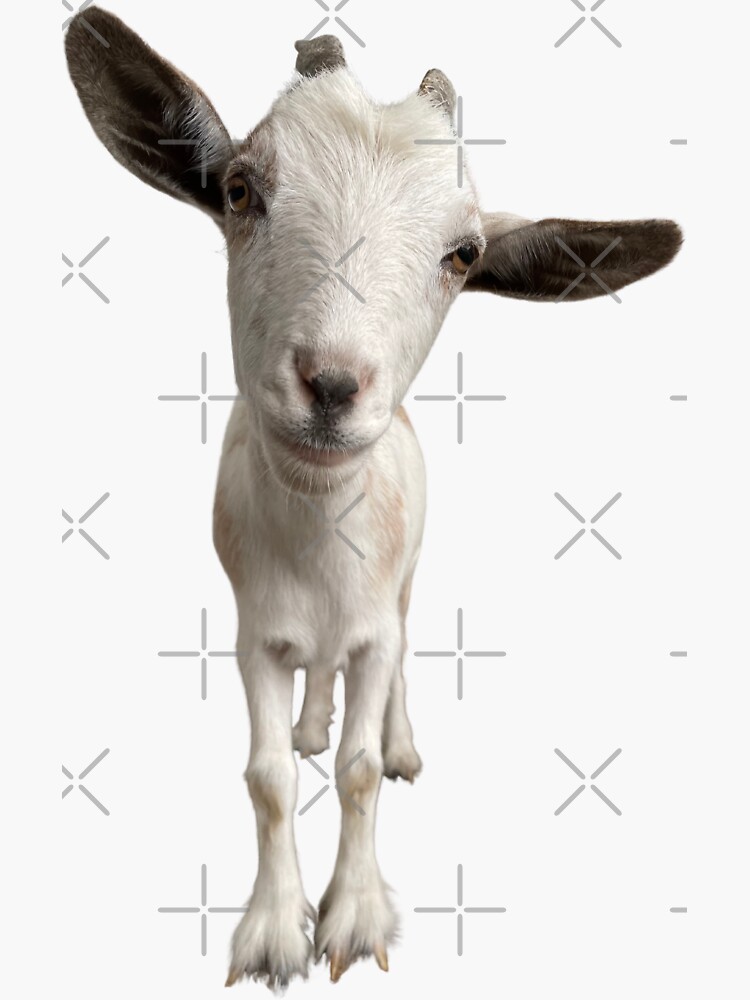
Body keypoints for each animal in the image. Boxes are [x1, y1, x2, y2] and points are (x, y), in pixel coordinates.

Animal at [66, 9, 682, 988]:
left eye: (465, 255)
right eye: (239, 189)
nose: (330, 386)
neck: (318, 540)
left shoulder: (376, 625)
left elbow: (355, 773)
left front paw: (351, 920)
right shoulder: (253, 634)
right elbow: (269, 776)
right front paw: (274, 932)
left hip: (410, 583)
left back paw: (399, 745)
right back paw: (313, 725)